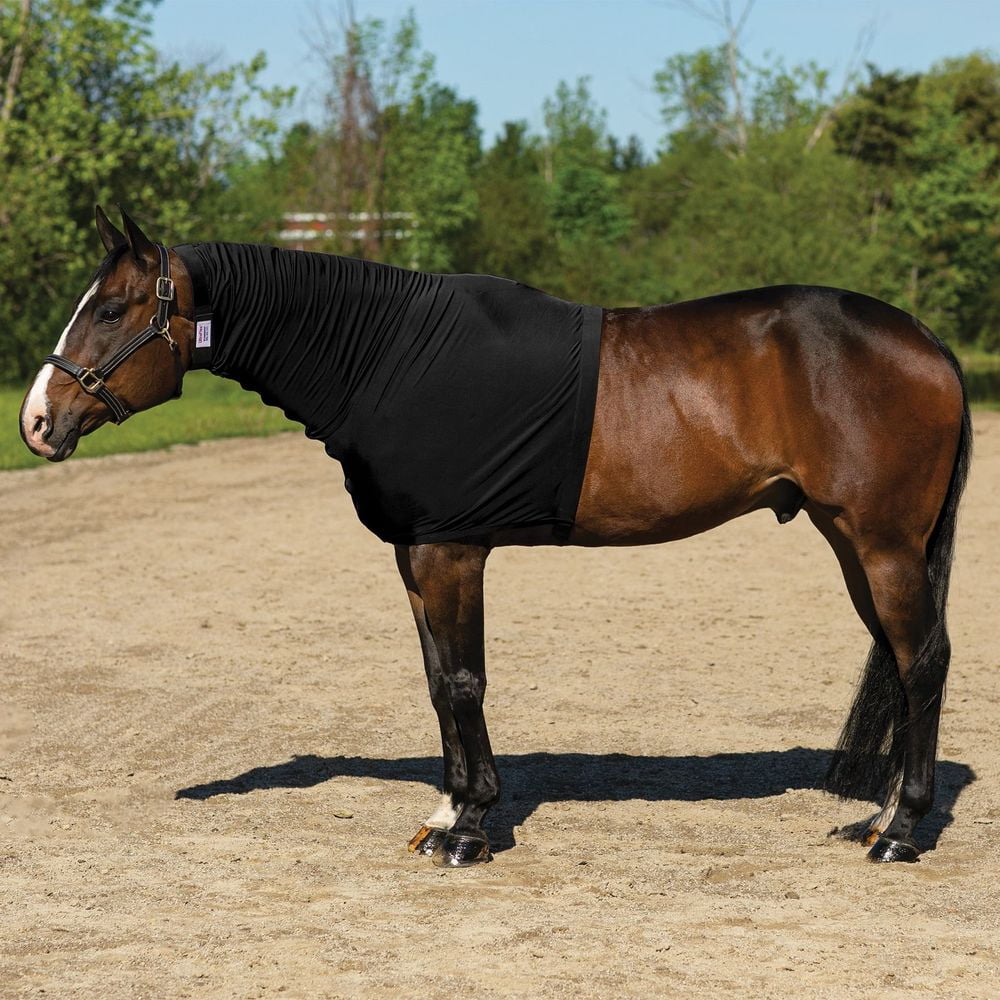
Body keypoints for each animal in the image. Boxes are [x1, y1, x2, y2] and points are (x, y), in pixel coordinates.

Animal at [20, 207, 971, 869]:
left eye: (113, 310)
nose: (35, 422)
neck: (387, 355)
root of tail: (926, 341)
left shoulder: (453, 550)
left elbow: (465, 681)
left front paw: (472, 829)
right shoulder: (416, 553)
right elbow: (438, 682)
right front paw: (445, 813)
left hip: (882, 545)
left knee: (923, 661)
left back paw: (901, 831)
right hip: (852, 543)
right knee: (902, 660)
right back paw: (876, 817)